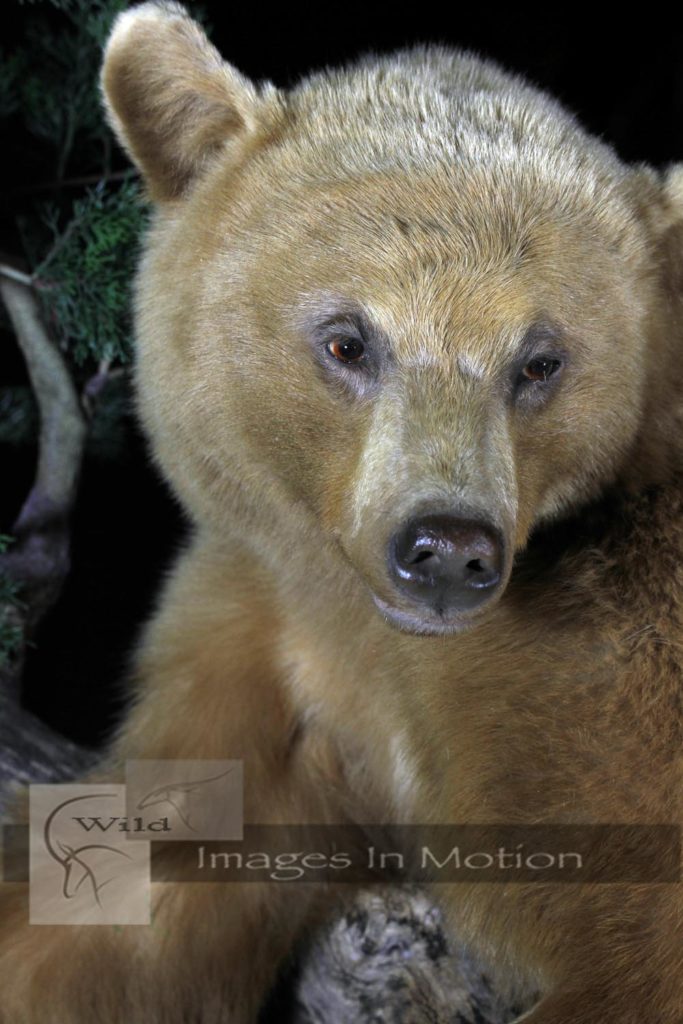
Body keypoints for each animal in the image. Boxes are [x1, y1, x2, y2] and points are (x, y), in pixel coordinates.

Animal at [1, 2, 683, 1021]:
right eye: (347, 340)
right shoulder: (273, 639)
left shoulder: (610, 675)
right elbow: (128, 890)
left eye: (540, 360)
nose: (446, 547)